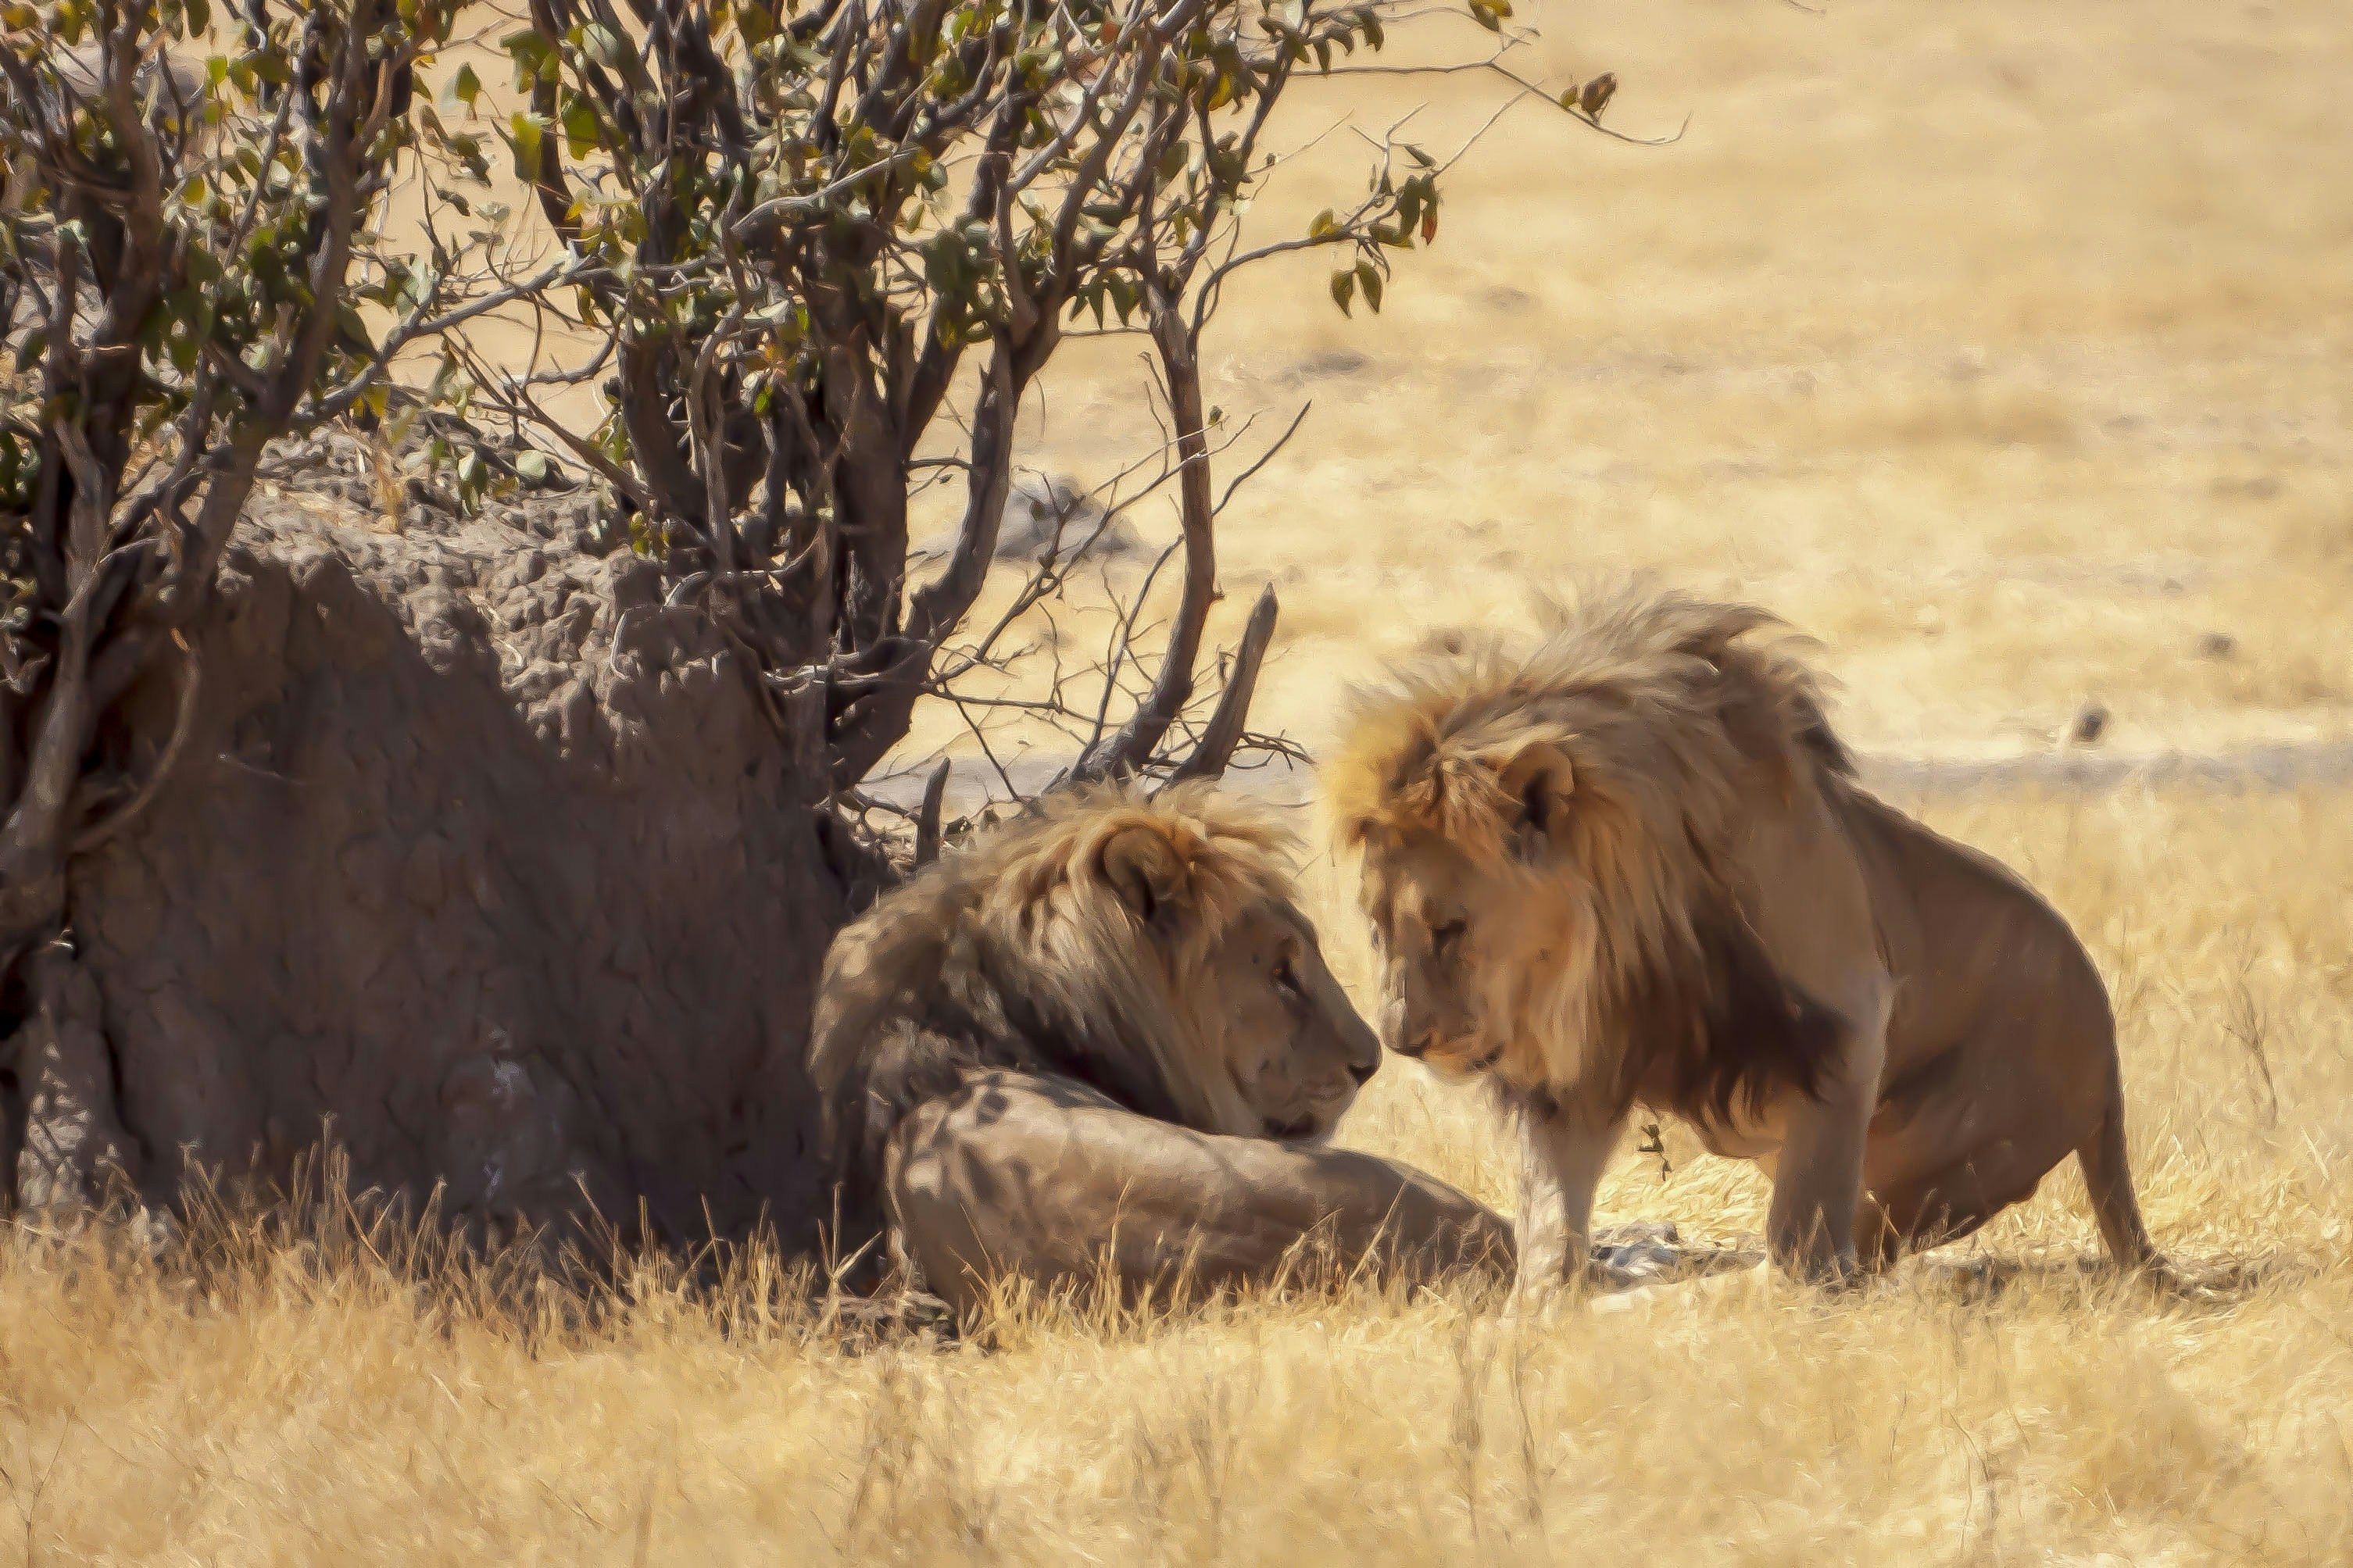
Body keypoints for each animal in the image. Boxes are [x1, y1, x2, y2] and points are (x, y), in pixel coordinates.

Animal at [1326, 584, 2162, 1300]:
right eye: (1374, 926)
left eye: (1450, 928)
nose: (1399, 1042)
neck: (1619, 940)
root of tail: (2109, 1059)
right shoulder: (1582, 1068)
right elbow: (1547, 1234)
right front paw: (1537, 1309)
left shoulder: (1846, 1018)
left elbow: (1799, 1250)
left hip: (1951, 1161)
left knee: (1849, 1252)